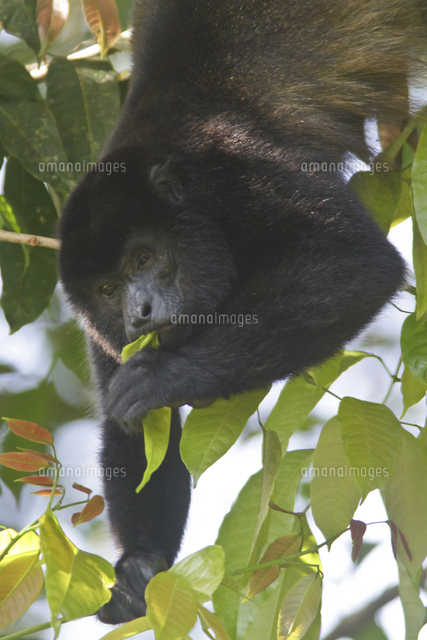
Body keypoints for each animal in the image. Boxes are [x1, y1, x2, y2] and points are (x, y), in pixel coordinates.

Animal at [58, 0, 426, 624]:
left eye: (145, 258)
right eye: (108, 289)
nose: (139, 313)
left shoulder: (241, 174)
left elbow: (359, 264)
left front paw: (166, 377)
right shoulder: (97, 326)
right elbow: (128, 423)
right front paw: (141, 565)